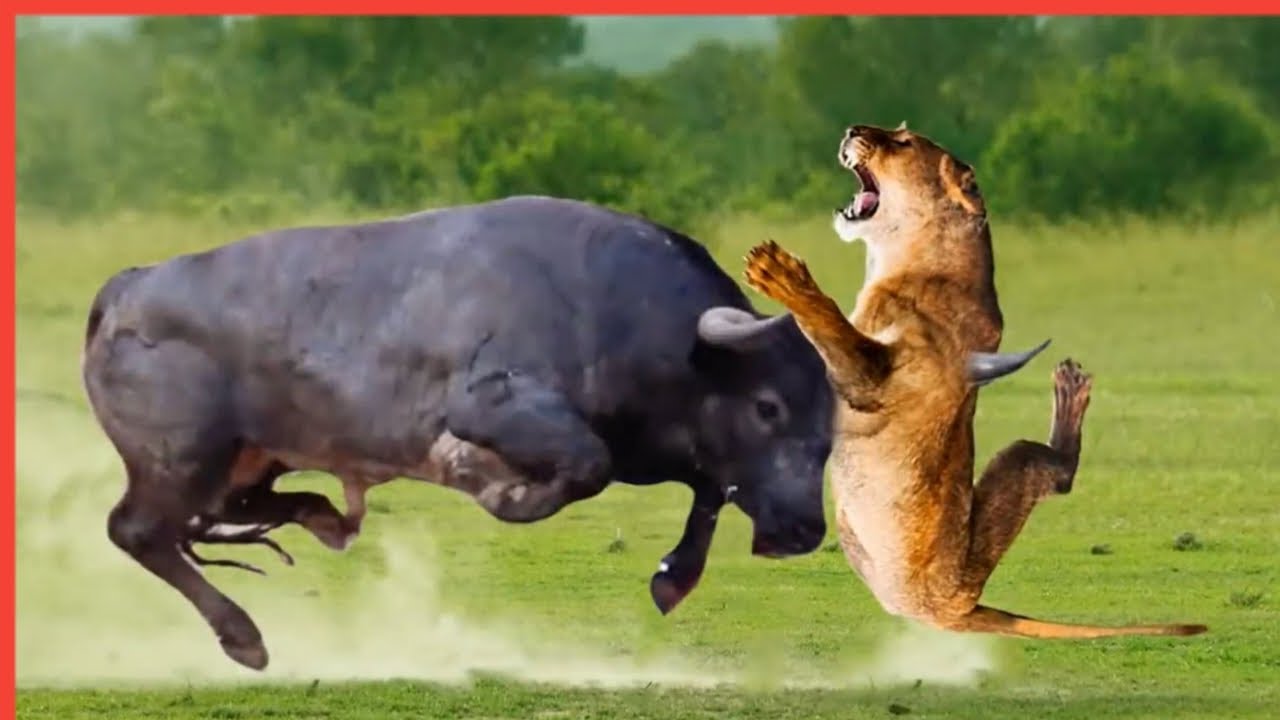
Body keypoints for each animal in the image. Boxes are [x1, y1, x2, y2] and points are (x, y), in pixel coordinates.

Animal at [741, 123, 1207, 639]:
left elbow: (833, 324)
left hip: (999, 495)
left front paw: (778, 271)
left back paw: (1071, 389)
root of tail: (959, 608)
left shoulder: (886, 377)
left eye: (903, 143)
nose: (852, 130)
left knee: (1057, 473)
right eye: (898, 130)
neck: (897, 258)